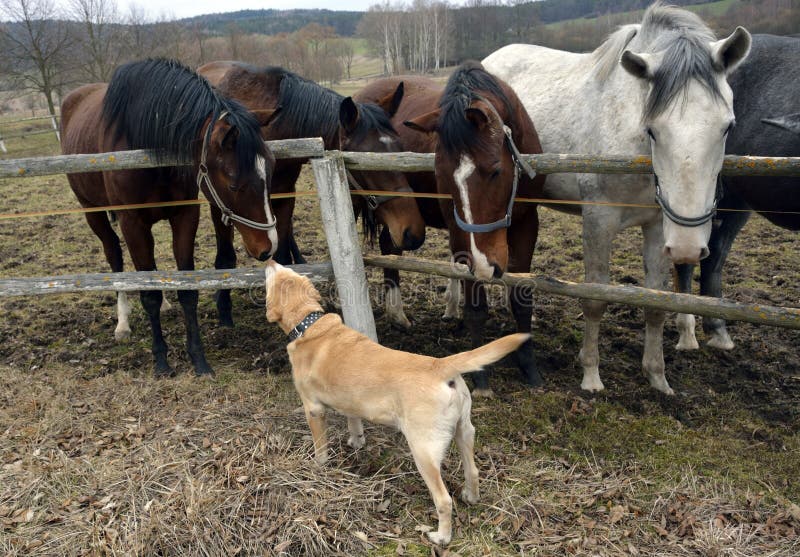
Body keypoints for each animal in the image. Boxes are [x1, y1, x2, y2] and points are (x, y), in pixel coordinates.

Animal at [60, 58, 279, 377]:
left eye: (270, 170)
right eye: (234, 184)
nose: (268, 247)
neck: (143, 138)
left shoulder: (184, 216)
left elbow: (186, 290)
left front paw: (199, 359)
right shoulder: (132, 223)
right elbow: (148, 295)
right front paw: (161, 361)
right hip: (93, 212)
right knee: (114, 257)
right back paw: (122, 323)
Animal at [197, 62, 427, 294]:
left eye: (399, 148)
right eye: (363, 163)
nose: (413, 233)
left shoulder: (285, 192)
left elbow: (282, 252)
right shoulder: (220, 202)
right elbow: (226, 259)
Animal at [355, 61, 546, 396]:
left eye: (495, 171)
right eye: (441, 176)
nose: (487, 266)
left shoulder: (526, 223)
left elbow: (522, 299)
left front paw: (529, 367)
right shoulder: (461, 234)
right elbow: (476, 305)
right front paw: (481, 376)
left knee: (390, 247)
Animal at [483, 3, 751, 394]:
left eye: (727, 126)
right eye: (652, 129)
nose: (688, 246)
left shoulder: (658, 229)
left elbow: (655, 303)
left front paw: (657, 377)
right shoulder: (599, 221)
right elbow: (596, 298)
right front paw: (591, 376)